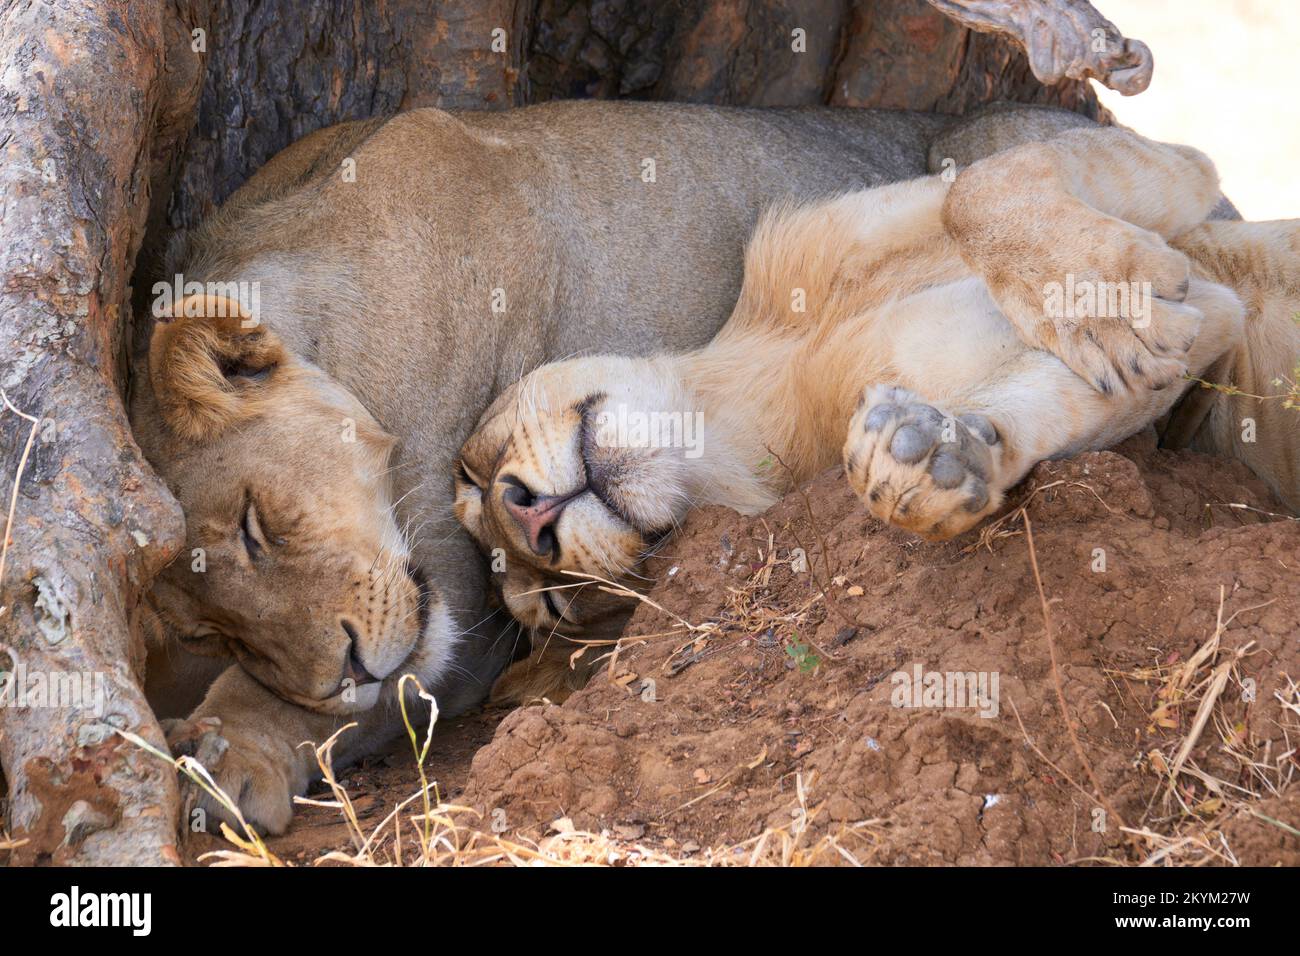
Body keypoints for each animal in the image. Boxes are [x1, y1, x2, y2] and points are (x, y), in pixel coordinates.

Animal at [452, 126, 1300, 705]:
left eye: (473, 471)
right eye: (557, 605)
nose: (529, 519)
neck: (748, 396)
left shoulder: (1158, 177)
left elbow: (979, 187)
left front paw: (1101, 299)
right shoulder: (1200, 342)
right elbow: (1053, 406)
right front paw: (923, 465)